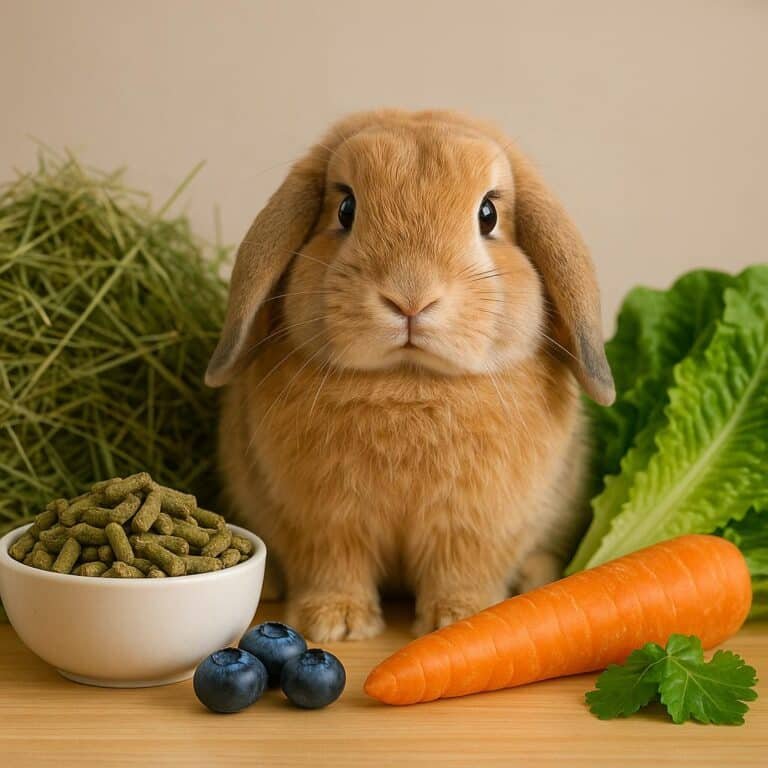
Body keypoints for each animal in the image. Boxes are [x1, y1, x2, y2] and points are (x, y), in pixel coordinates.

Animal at [206, 109, 615, 642]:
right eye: (345, 209)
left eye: (488, 214)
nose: (410, 297)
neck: (409, 382)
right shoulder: (323, 521)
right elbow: (334, 567)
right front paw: (335, 623)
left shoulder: (474, 527)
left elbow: (461, 570)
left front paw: (461, 617)